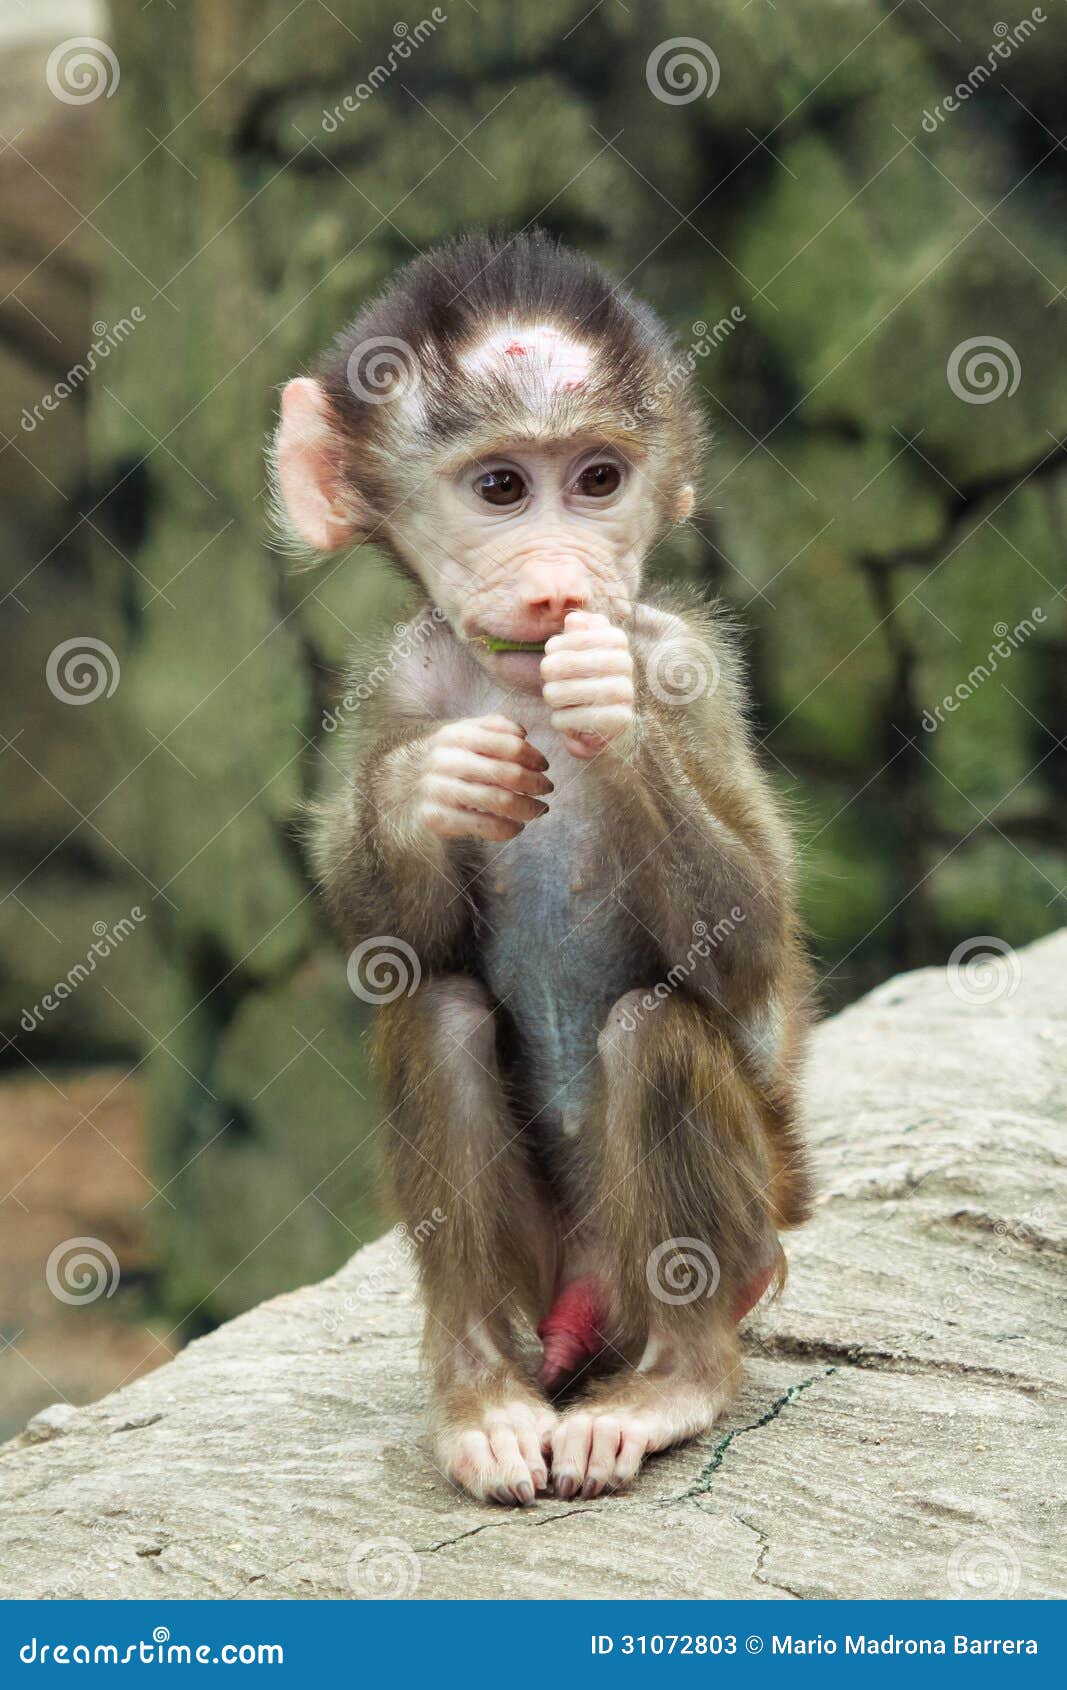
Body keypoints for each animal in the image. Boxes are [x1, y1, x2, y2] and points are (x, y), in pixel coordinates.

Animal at [270, 229, 813, 1507]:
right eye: (502, 488)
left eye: (598, 479)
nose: (563, 577)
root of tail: (588, 1295)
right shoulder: (399, 683)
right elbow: (397, 949)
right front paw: (429, 790)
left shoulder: (688, 663)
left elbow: (752, 946)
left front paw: (607, 704)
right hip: (547, 1260)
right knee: (440, 1017)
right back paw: (487, 1400)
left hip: (743, 1225)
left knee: (655, 1033)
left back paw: (671, 1384)